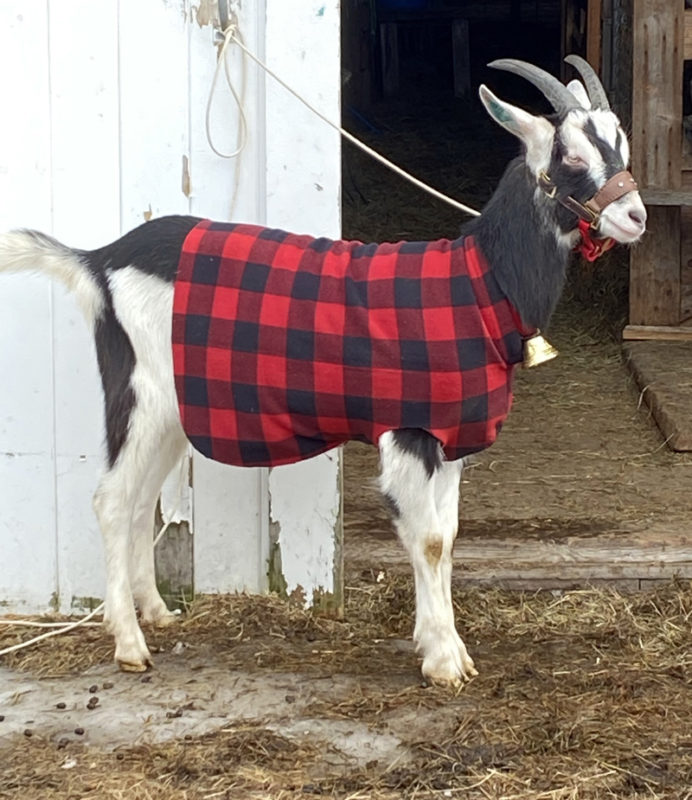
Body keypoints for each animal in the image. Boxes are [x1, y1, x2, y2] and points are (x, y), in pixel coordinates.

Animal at [0, 57, 646, 686]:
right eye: (570, 155)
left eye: (622, 144)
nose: (636, 216)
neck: (478, 284)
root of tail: (98, 262)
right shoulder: (409, 431)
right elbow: (430, 540)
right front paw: (444, 661)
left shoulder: (451, 437)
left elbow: (450, 536)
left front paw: (439, 644)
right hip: (140, 393)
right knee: (112, 500)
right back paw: (130, 645)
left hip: (175, 414)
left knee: (141, 501)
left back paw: (155, 612)